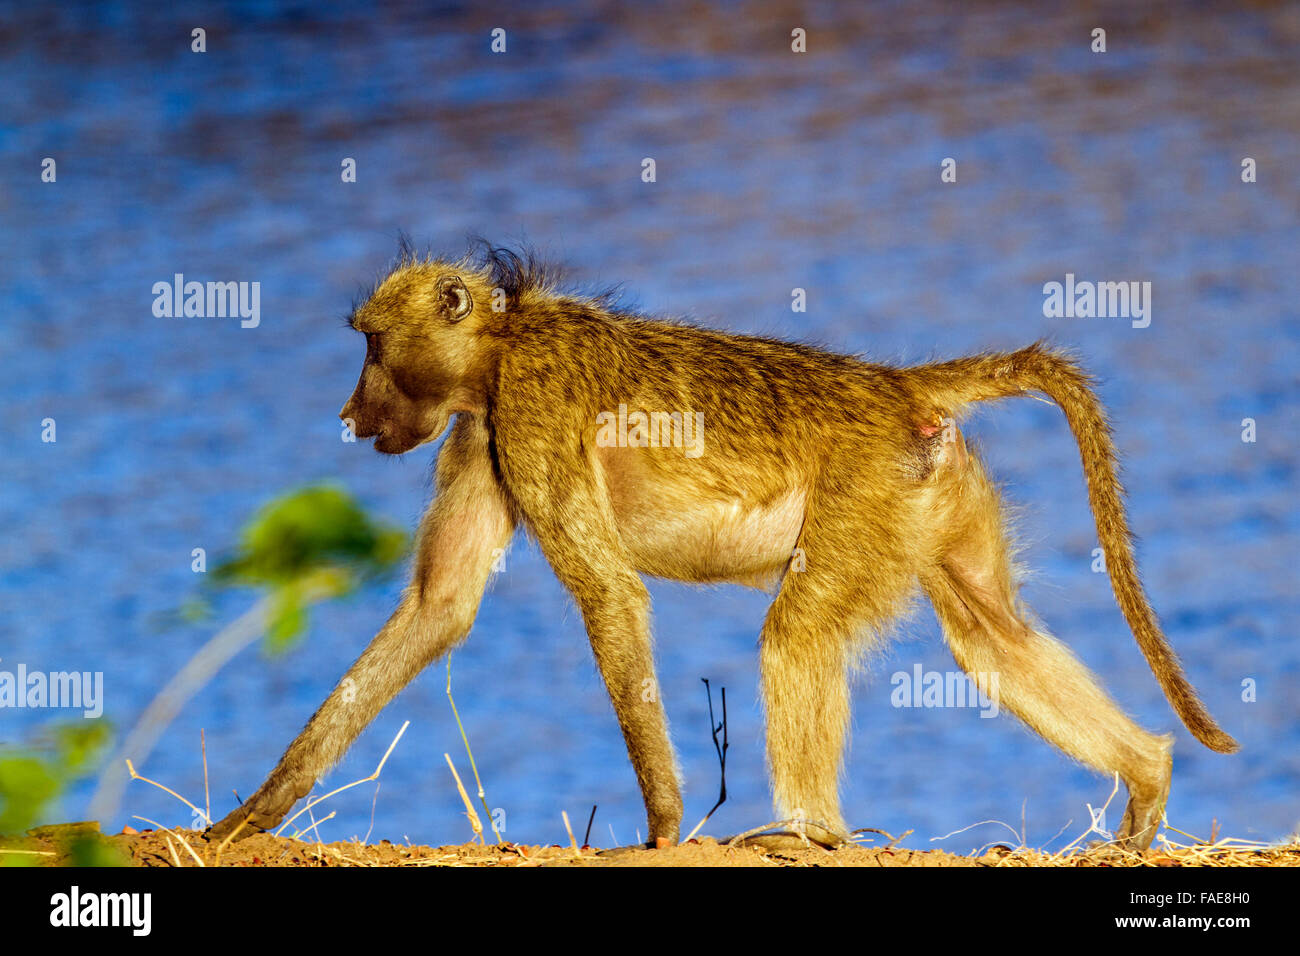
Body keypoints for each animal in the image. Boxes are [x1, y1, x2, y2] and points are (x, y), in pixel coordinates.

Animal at [206, 240, 1236, 852]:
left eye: (371, 346)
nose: (351, 412)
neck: (502, 342)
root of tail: (897, 387)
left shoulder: (529, 408)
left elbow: (610, 595)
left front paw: (663, 828)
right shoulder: (477, 434)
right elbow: (437, 609)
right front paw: (252, 815)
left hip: (868, 491)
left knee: (799, 635)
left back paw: (807, 833)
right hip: (931, 496)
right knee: (993, 643)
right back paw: (1148, 776)